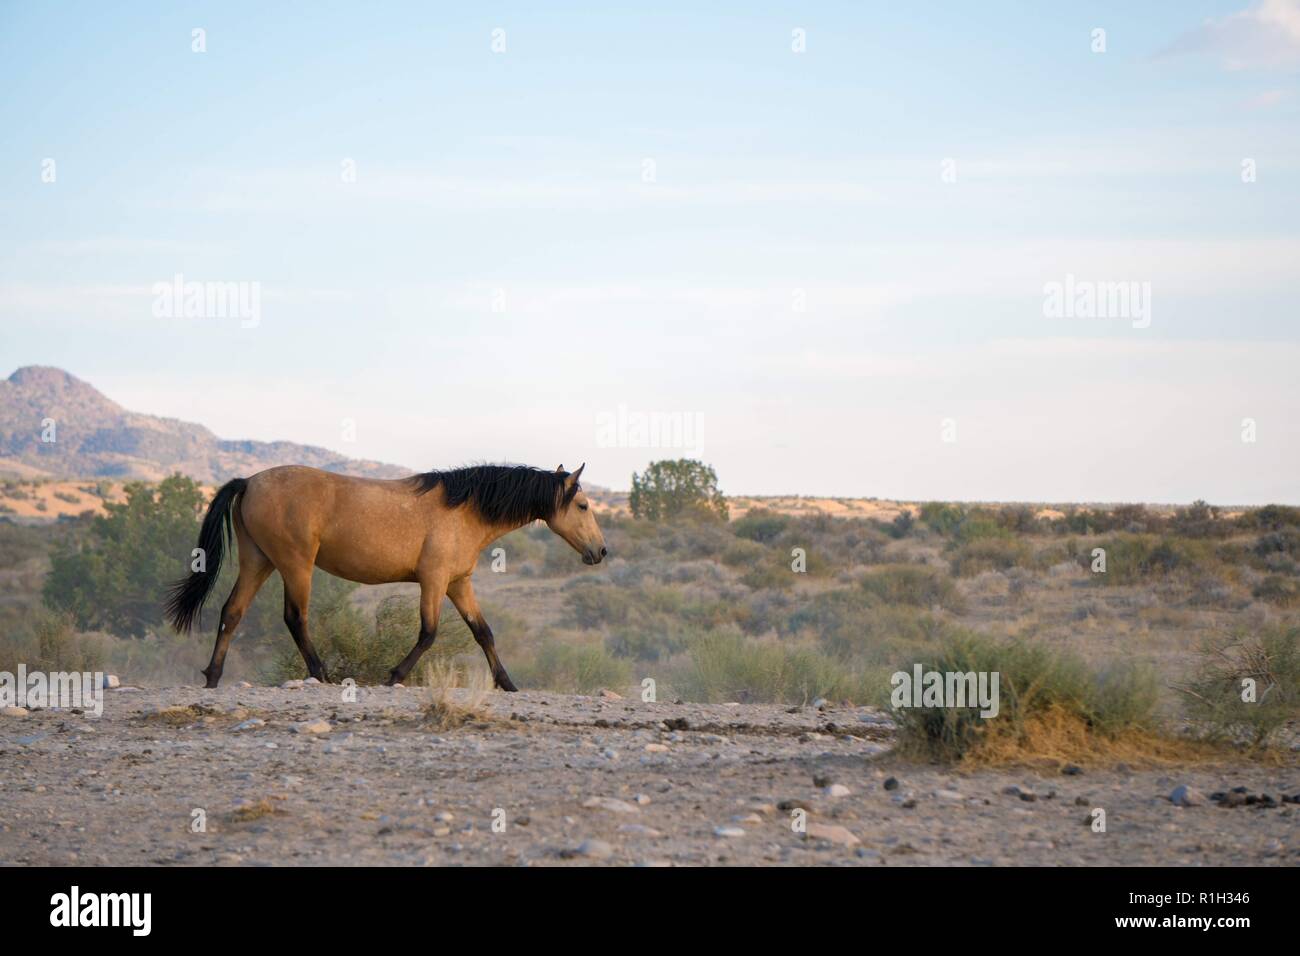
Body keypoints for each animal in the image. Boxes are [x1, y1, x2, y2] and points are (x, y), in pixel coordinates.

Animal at [164, 463, 606, 690]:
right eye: (583, 506)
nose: (601, 551)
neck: (464, 510)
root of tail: (249, 481)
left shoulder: (459, 583)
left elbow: (484, 633)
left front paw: (508, 683)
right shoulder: (434, 581)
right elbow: (428, 634)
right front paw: (393, 676)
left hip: (259, 561)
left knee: (232, 612)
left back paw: (213, 677)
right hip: (295, 564)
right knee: (295, 618)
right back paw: (321, 675)